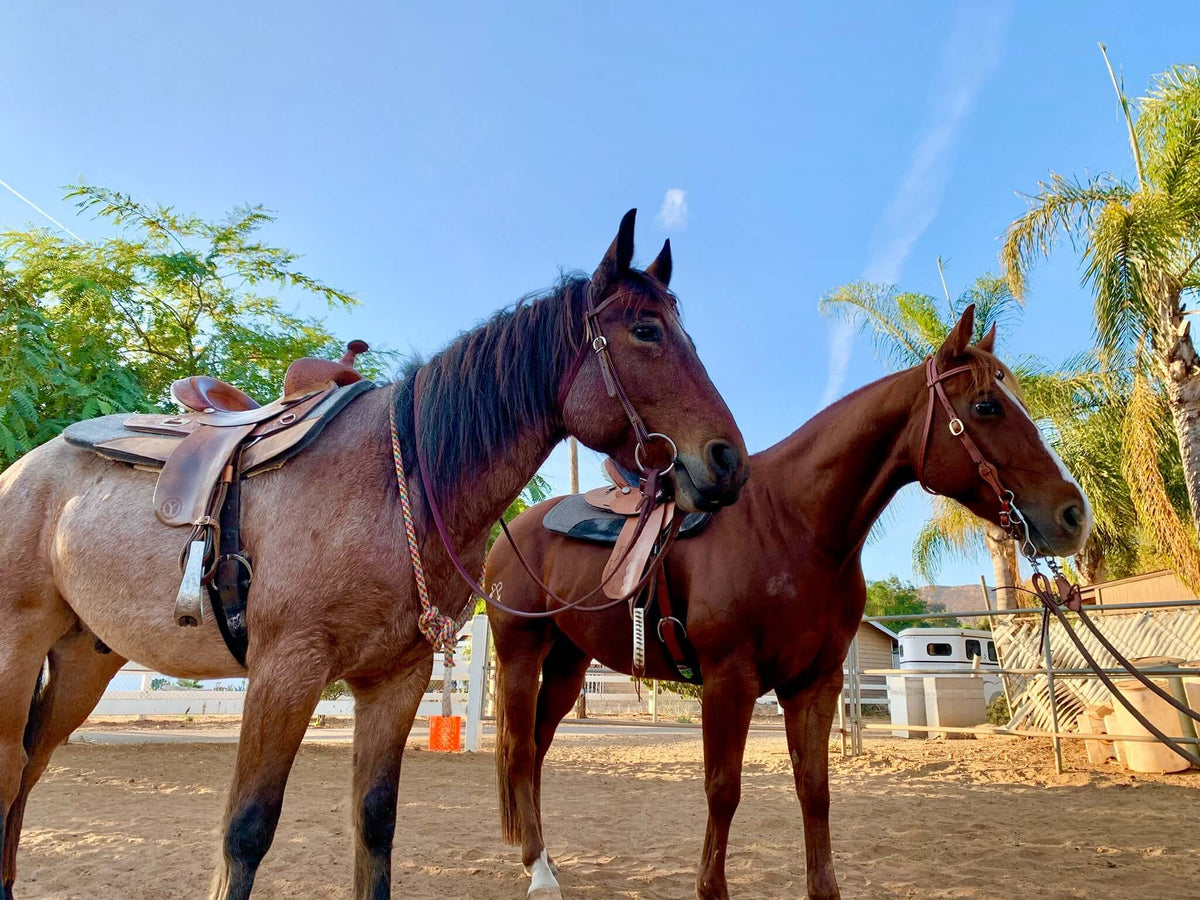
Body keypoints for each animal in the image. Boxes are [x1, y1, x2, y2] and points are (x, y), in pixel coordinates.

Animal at [0, 209, 750, 900]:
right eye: (646, 331)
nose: (728, 462)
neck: (401, 482)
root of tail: (25, 468)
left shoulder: (396, 679)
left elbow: (376, 821)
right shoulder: (285, 672)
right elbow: (246, 831)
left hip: (84, 658)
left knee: (29, 769)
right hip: (19, 647)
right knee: (11, 768)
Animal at [486, 305, 1093, 900]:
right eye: (987, 404)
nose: (1075, 515)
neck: (793, 524)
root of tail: (513, 529)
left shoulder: (815, 681)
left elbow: (814, 790)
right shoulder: (729, 680)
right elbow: (723, 789)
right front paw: (711, 887)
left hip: (568, 661)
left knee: (538, 743)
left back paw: (544, 859)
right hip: (520, 654)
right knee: (519, 749)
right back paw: (538, 870)